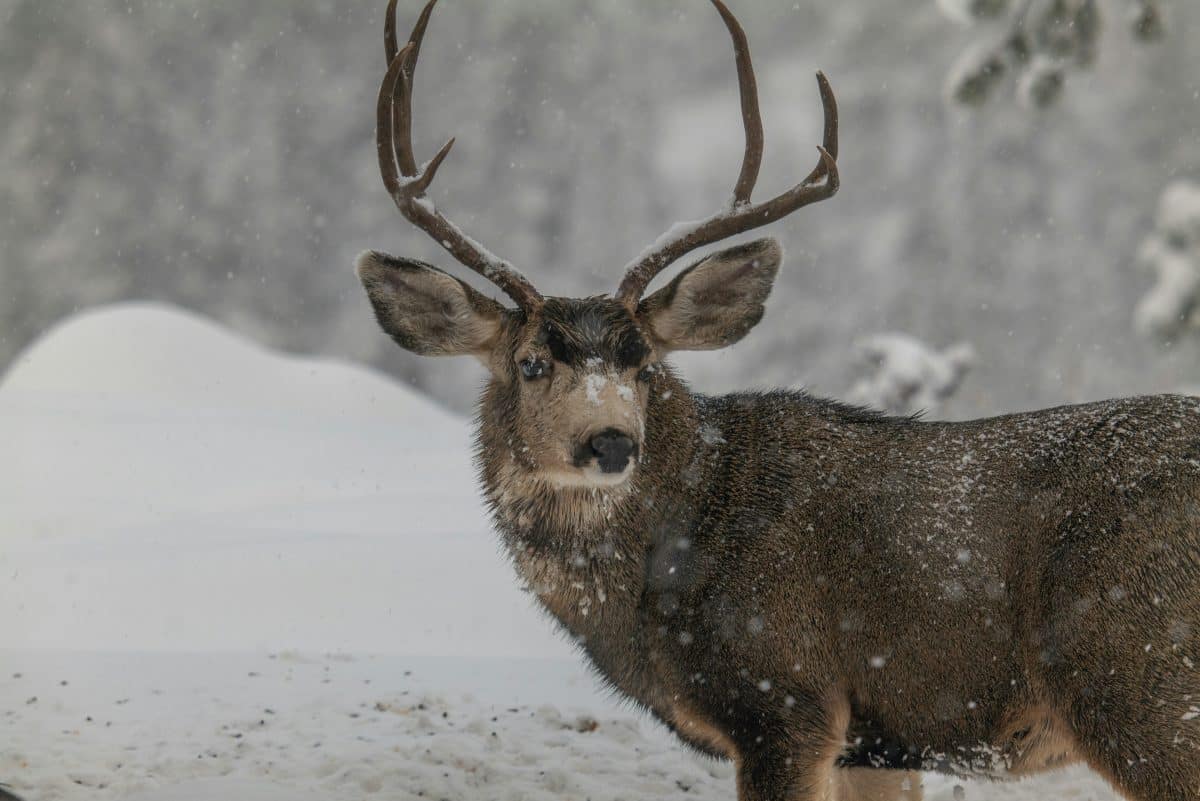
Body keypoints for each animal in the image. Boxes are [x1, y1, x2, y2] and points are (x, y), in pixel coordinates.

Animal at [355, 1, 1200, 799]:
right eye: (531, 363)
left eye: (645, 364)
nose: (612, 441)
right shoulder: (878, 741)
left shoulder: (785, 699)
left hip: (1139, 679)